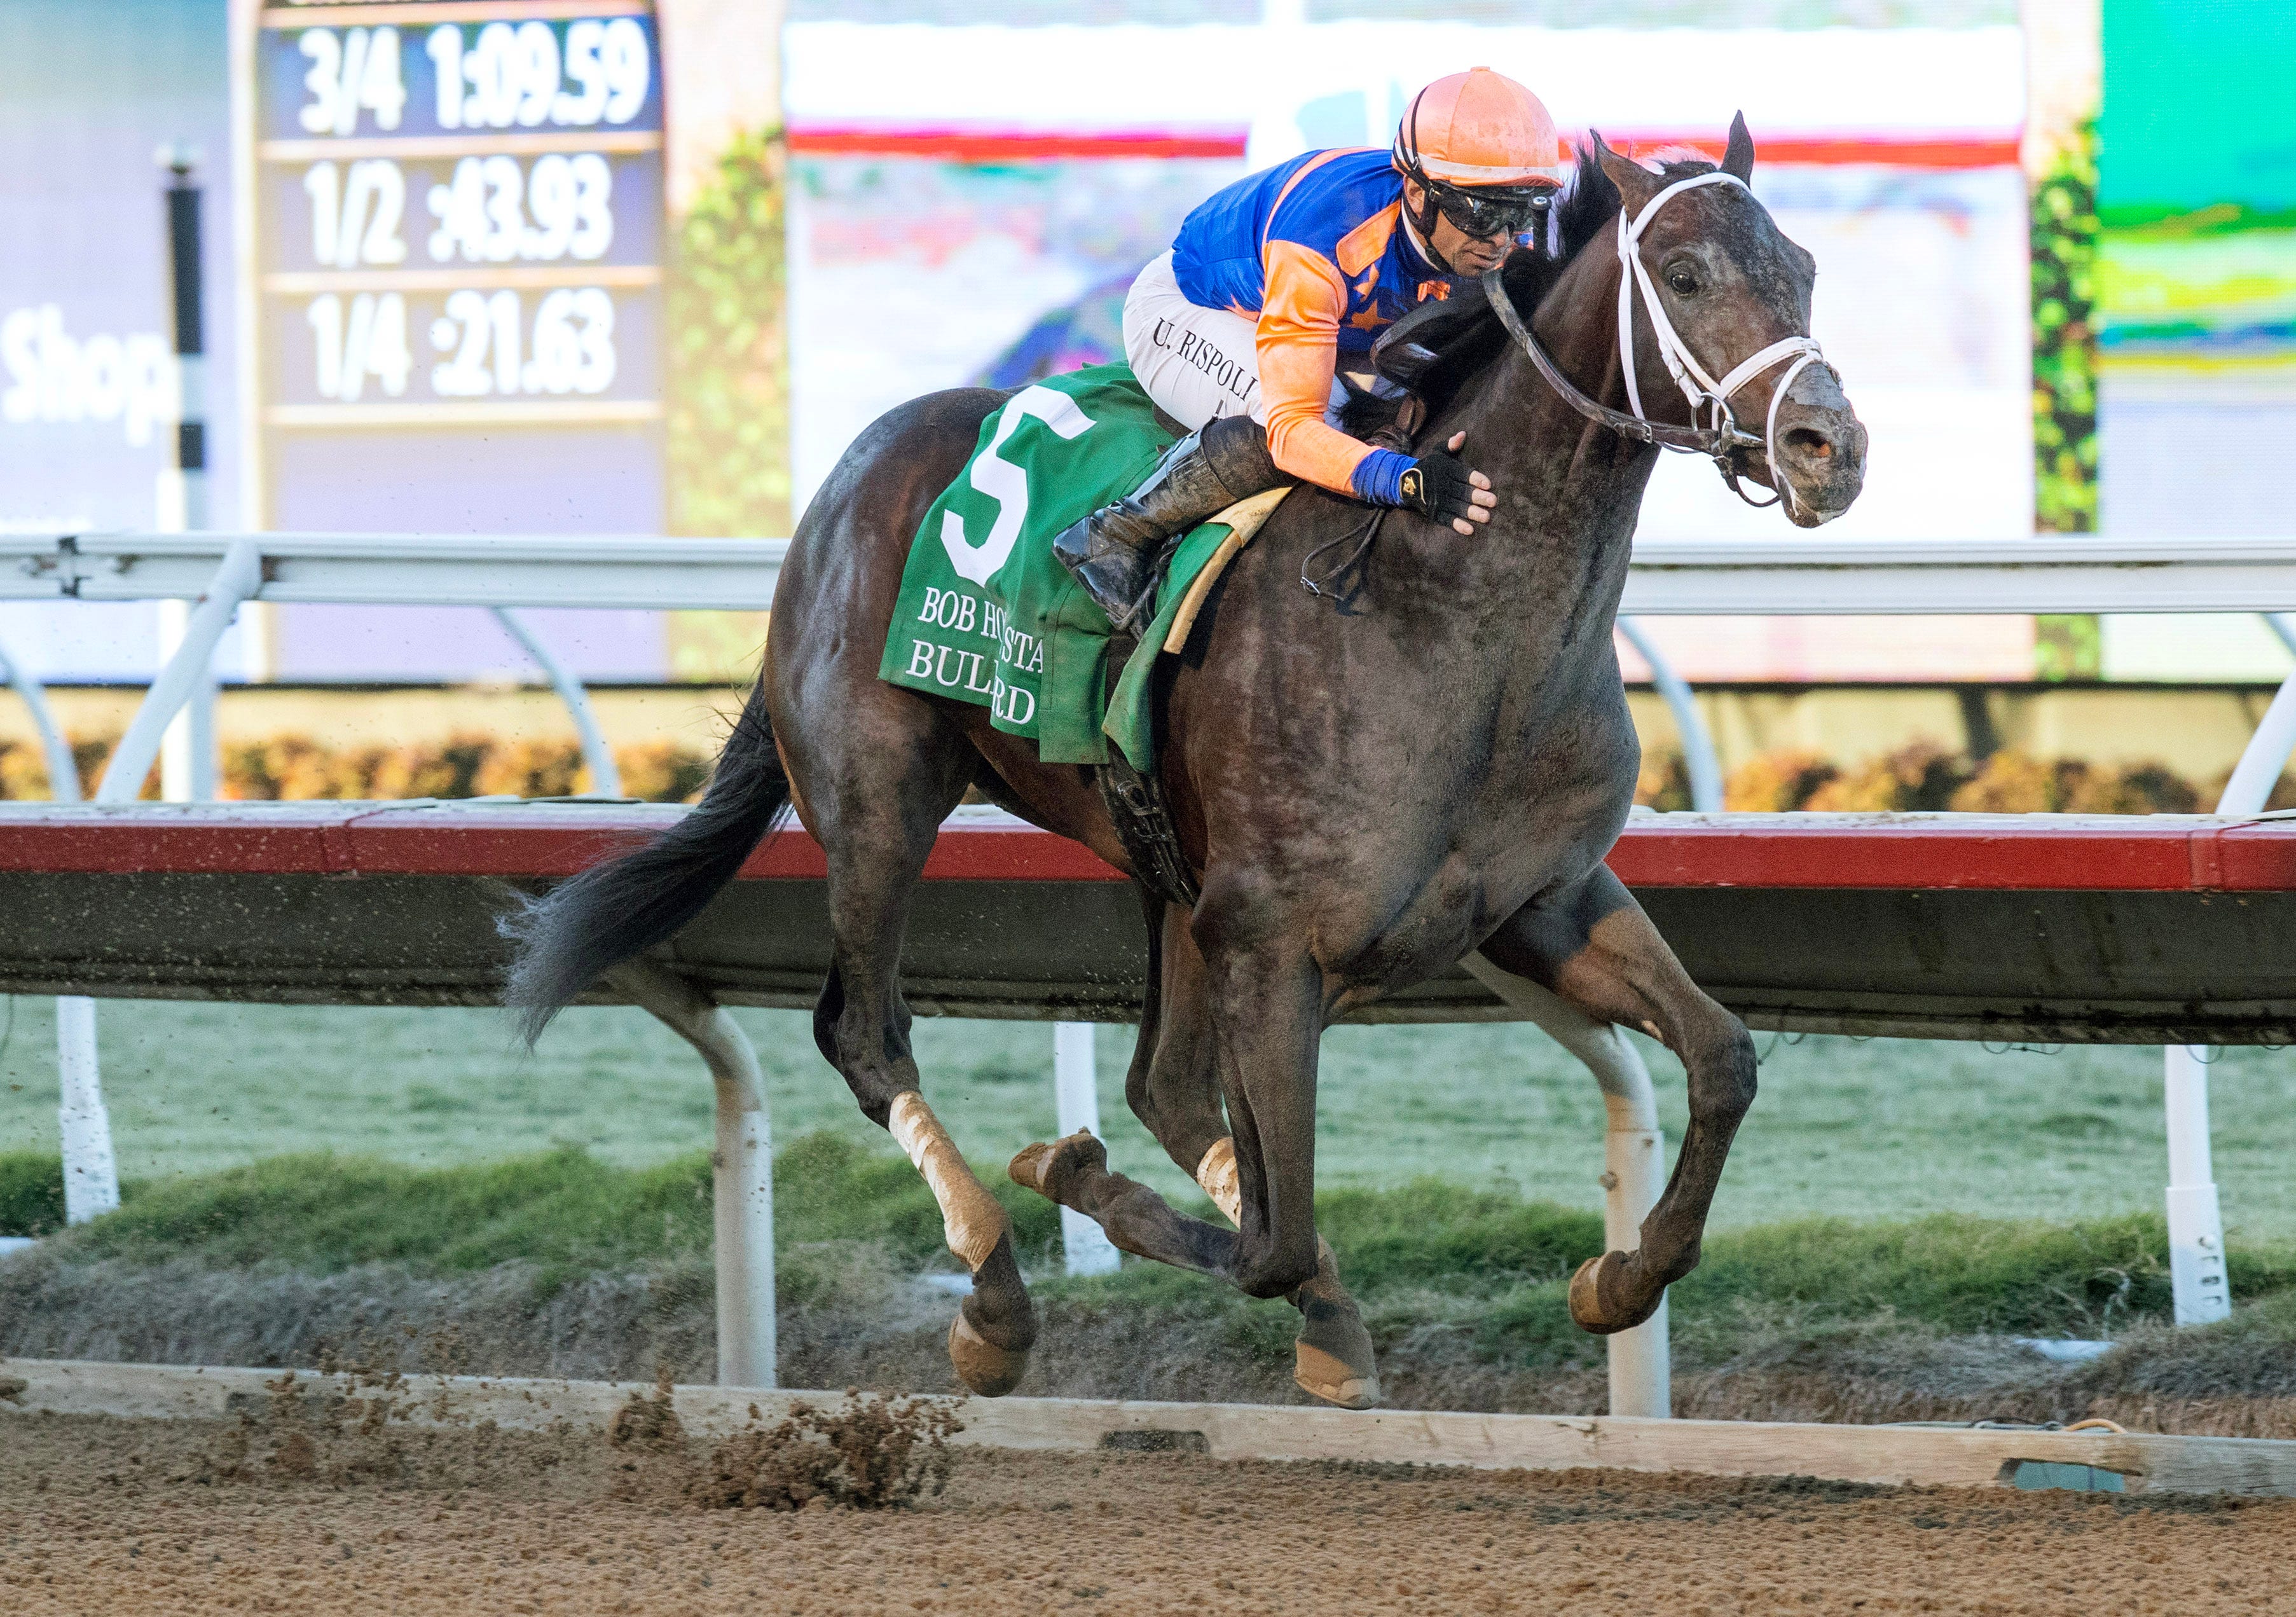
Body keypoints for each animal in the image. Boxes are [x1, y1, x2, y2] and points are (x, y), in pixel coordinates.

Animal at [503, 123, 1868, 1407]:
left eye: (1802, 267)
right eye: (1684, 275)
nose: (1827, 445)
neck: (1457, 625)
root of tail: (842, 480)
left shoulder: (1538, 900)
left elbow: (1723, 1057)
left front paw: (1617, 1275)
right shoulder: (1276, 941)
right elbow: (1270, 1234)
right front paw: (1069, 1169)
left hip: (1164, 867)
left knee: (1162, 1083)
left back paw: (1314, 1315)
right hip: (878, 797)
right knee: (869, 1033)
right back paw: (997, 1297)